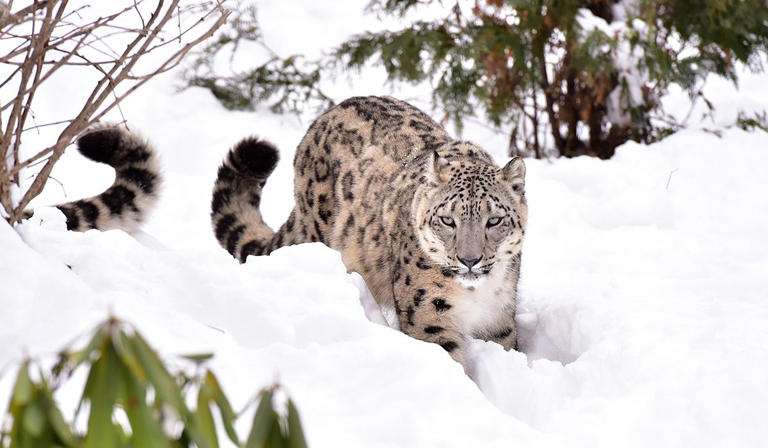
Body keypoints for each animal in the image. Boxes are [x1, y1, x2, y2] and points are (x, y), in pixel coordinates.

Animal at [210, 96, 527, 366]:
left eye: (494, 220)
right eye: (448, 220)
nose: (469, 260)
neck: (474, 294)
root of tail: (323, 117)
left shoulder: (499, 318)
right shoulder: (429, 317)